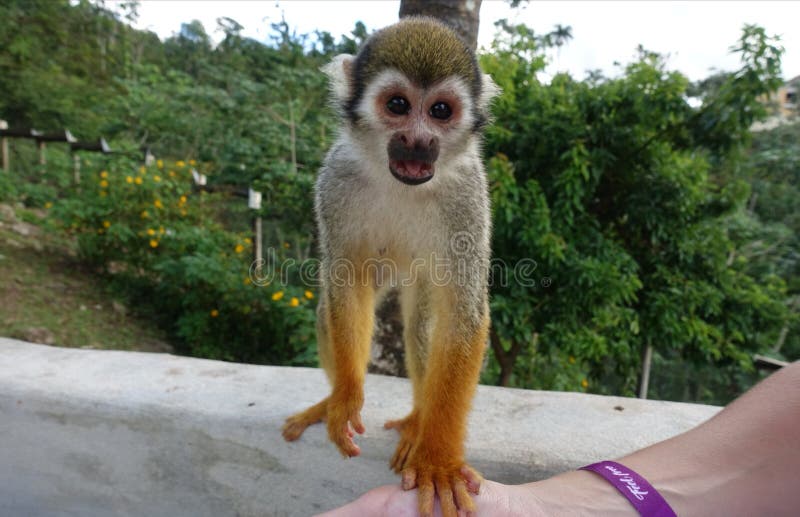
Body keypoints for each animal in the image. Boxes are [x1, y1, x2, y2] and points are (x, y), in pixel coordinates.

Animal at [282, 17, 498, 517]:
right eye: (398, 105)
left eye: (440, 110)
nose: (418, 141)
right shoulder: (336, 181)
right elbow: (345, 282)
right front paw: (345, 397)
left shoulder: (468, 195)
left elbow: (462, 315)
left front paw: (438, 461)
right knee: (330, 304)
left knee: (423, 322)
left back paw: (420, 422)